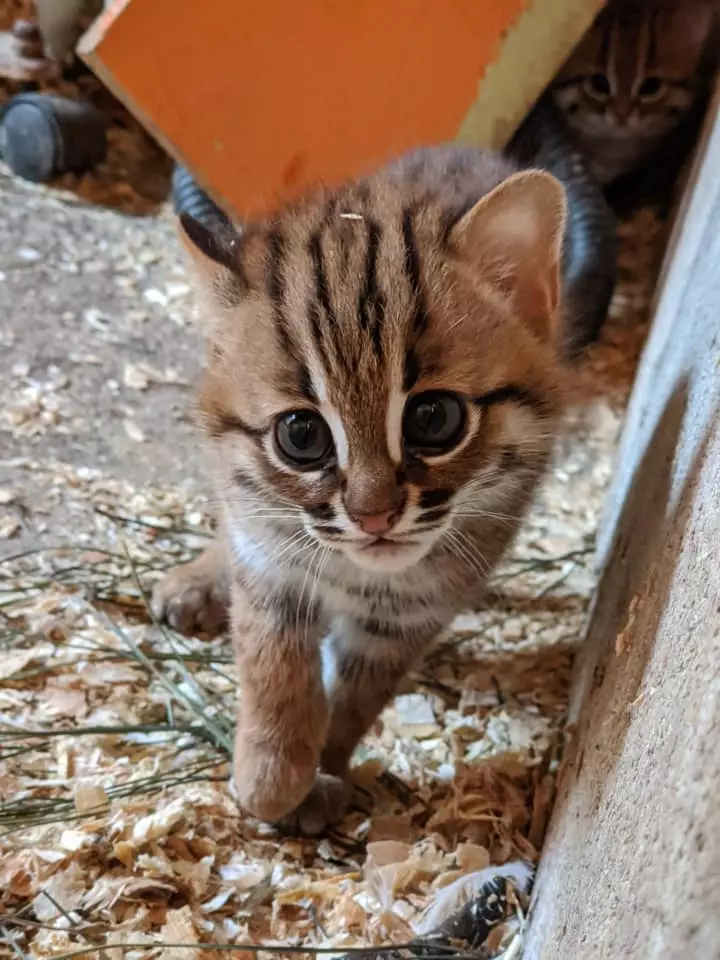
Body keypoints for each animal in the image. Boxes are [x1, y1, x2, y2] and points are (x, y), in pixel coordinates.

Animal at [153, 148, 580, 832]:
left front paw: (322, 772)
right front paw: (270, 778)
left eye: (434, 418)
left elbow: (355, 700)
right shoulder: (272, 565)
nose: (373, 516)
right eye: (301, 434)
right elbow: (272, 669)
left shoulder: (406, 616)